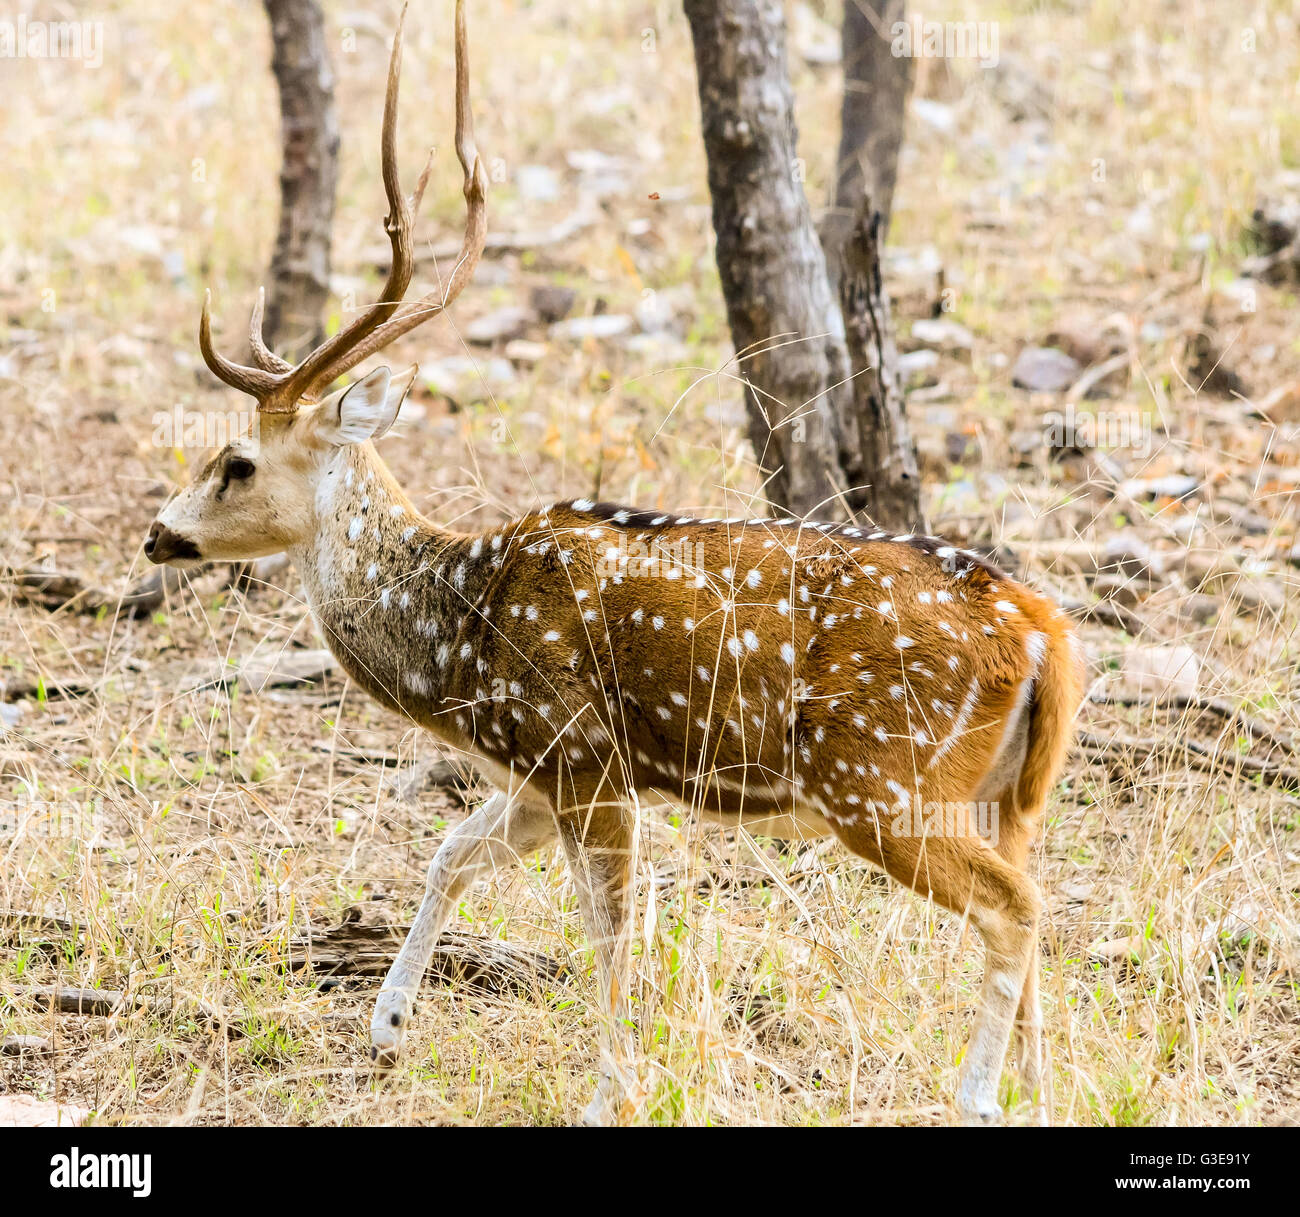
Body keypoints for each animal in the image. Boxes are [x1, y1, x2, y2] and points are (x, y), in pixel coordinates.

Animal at [144, 0, 1085, 1126]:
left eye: (236, 462)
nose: (158, 531)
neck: (457, 630)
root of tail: (1043, 631)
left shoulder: (583, 755)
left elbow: (612, 939)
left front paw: (608, 1092)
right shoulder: (542, 770)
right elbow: (452, 852)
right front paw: (388, 1022)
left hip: (878, 778)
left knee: (1012, 903)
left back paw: (977, 1092)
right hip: (1007, 790)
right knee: (1033, 905)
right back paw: (1037, 1086)